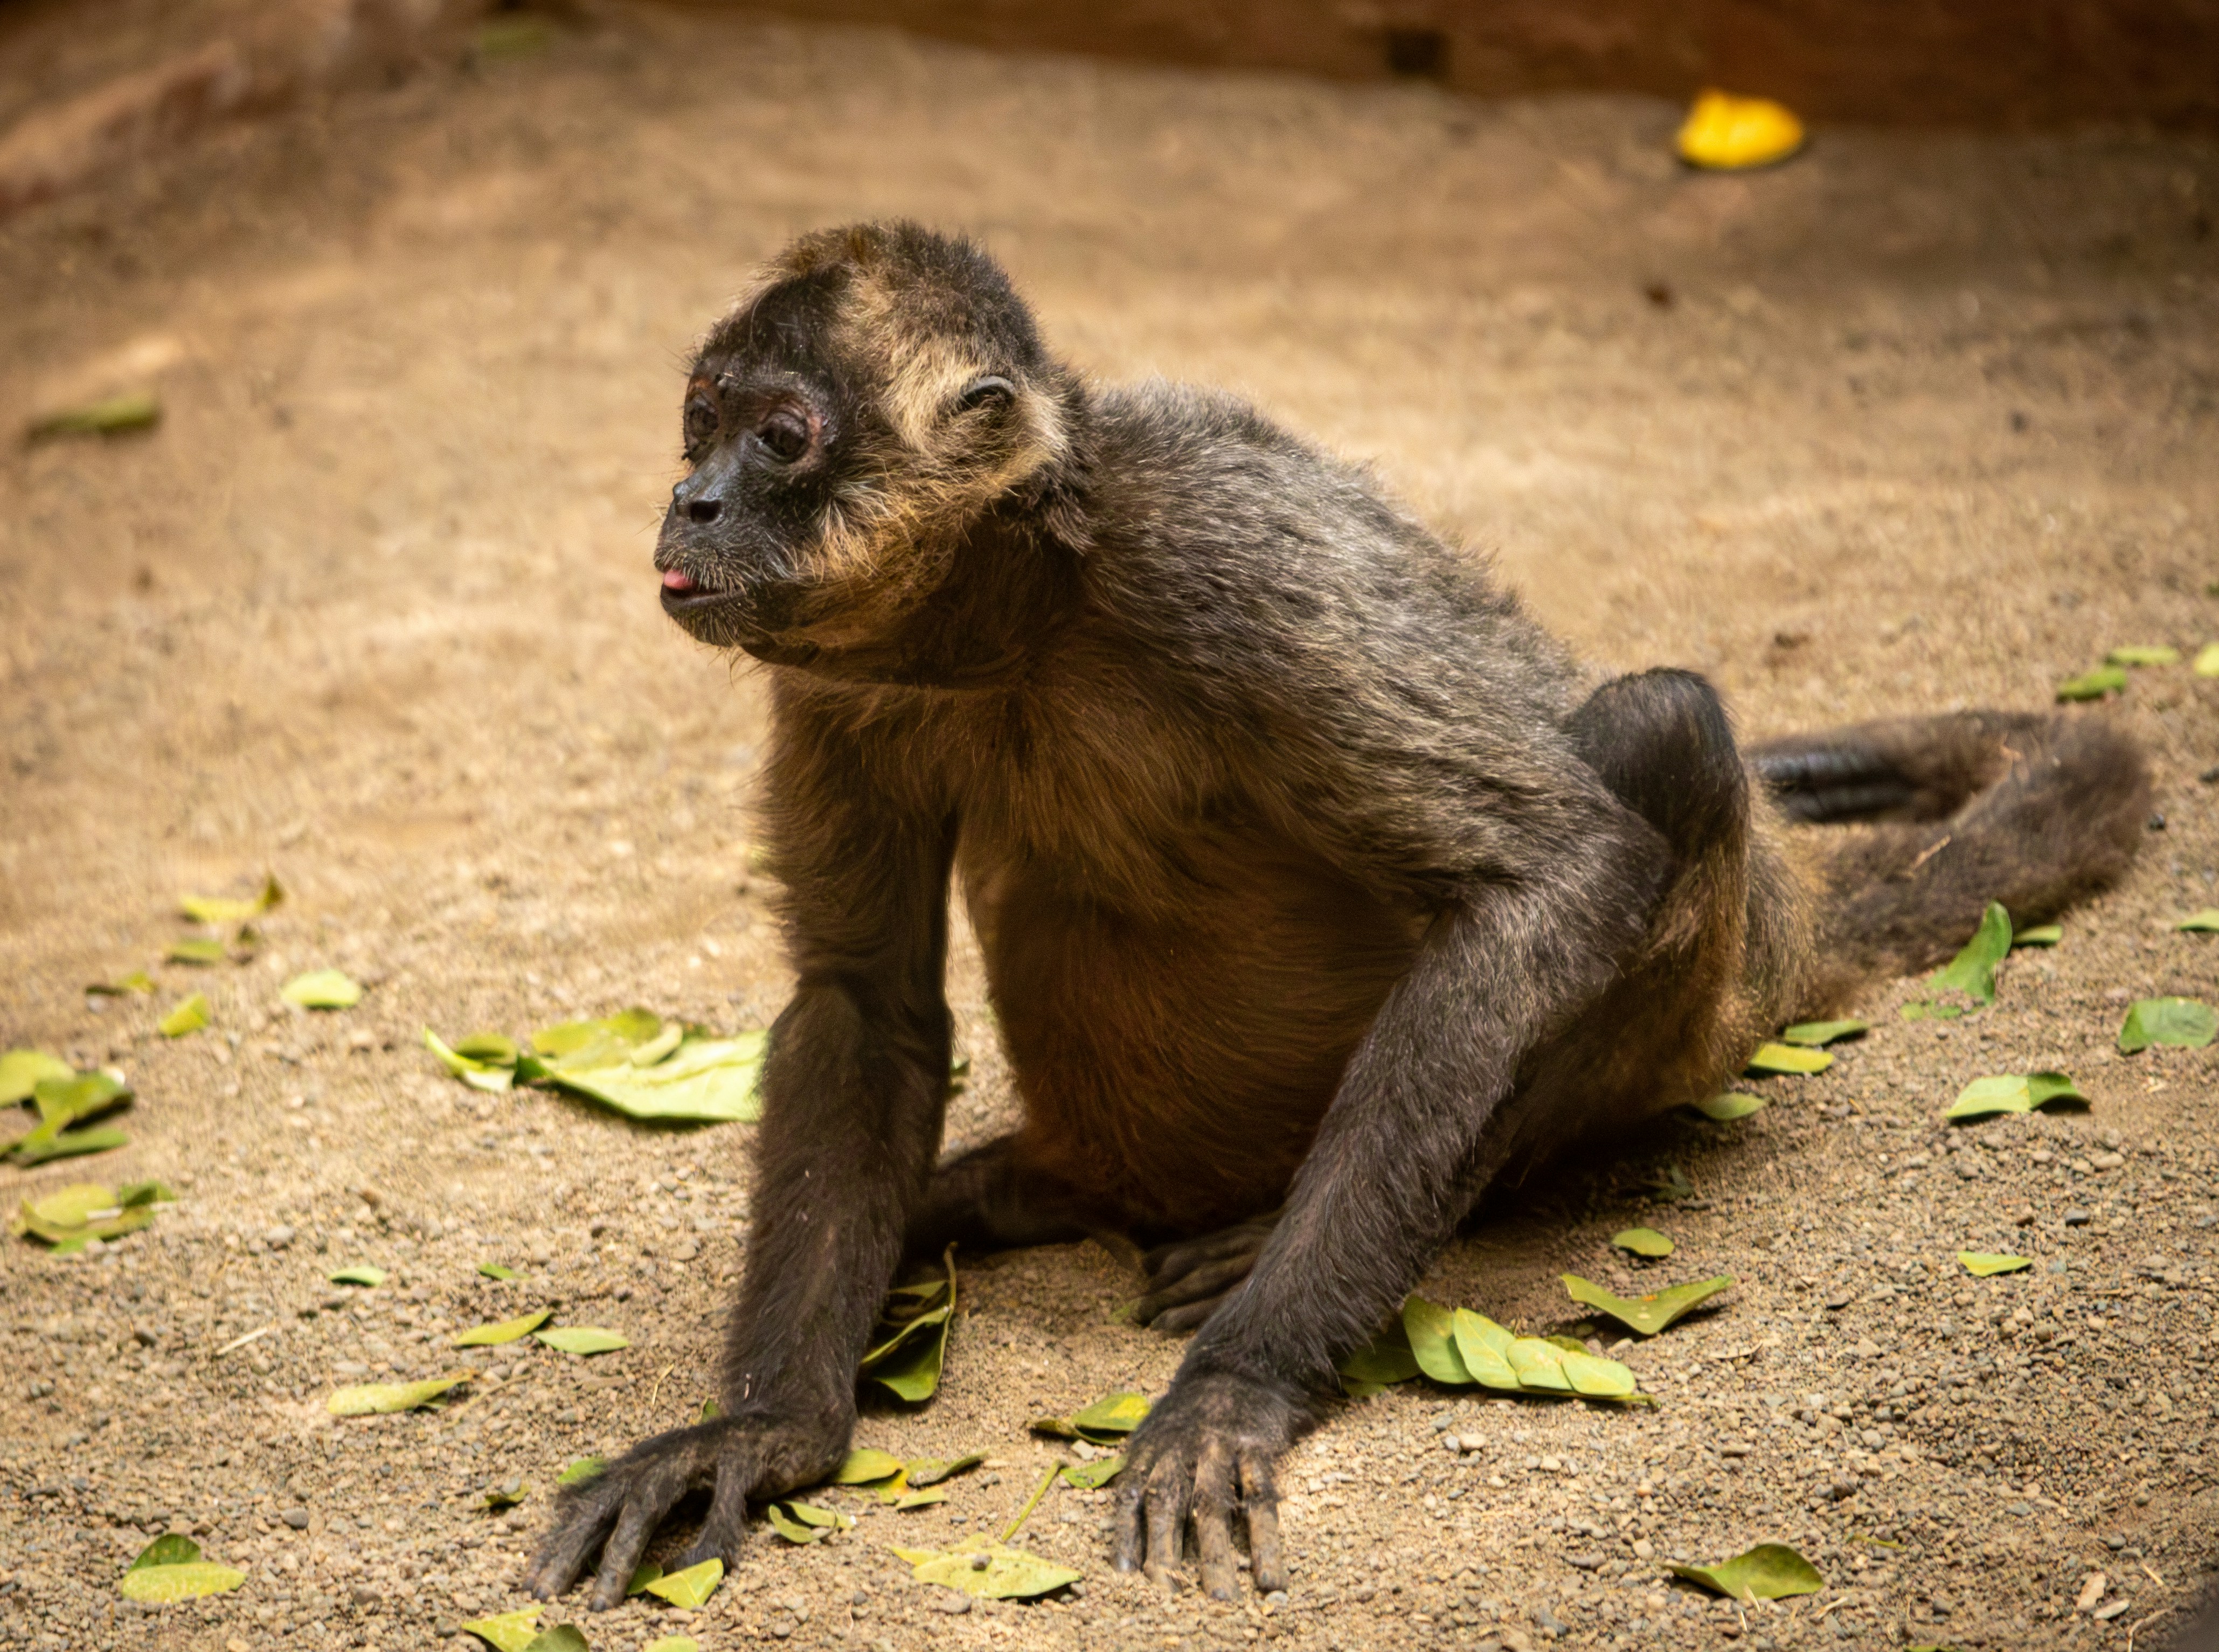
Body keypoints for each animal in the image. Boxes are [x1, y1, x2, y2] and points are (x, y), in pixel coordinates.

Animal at [525, 221, 2148, 1608]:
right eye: (698, 423)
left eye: (779, 437)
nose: (690, 503)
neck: (1022, 611)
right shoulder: (842, 673)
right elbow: (866, 1004)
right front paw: (763, 1434)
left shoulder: (1220, 548)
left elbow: (1552, 872)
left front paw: (1235, 1388)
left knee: (1667, 724)